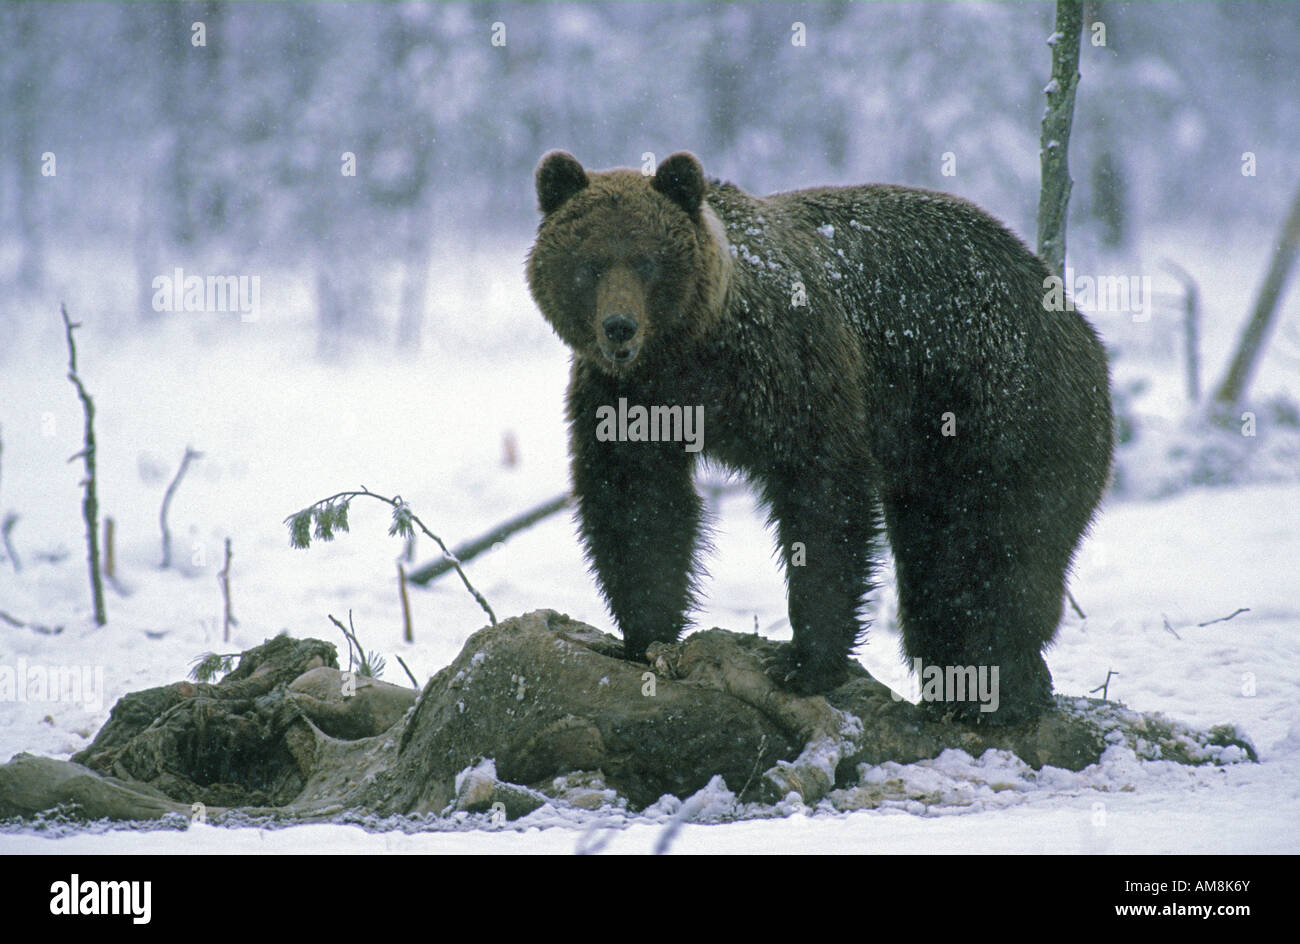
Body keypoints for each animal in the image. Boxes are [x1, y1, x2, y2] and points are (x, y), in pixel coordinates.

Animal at [526, 150, 1113, 725]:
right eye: (589, 264)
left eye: (647, 261)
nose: (619, 327)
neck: (694, 352)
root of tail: (1070, 311)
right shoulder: (626, 400)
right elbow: (636, 502)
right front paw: (642, 635)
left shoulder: (792, 367)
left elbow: (822, 498)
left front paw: (803, 661)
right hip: (933, 456)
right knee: (934, 557)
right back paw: (957, 684)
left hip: (1001, 405)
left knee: (997, 547)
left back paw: (995, 690)